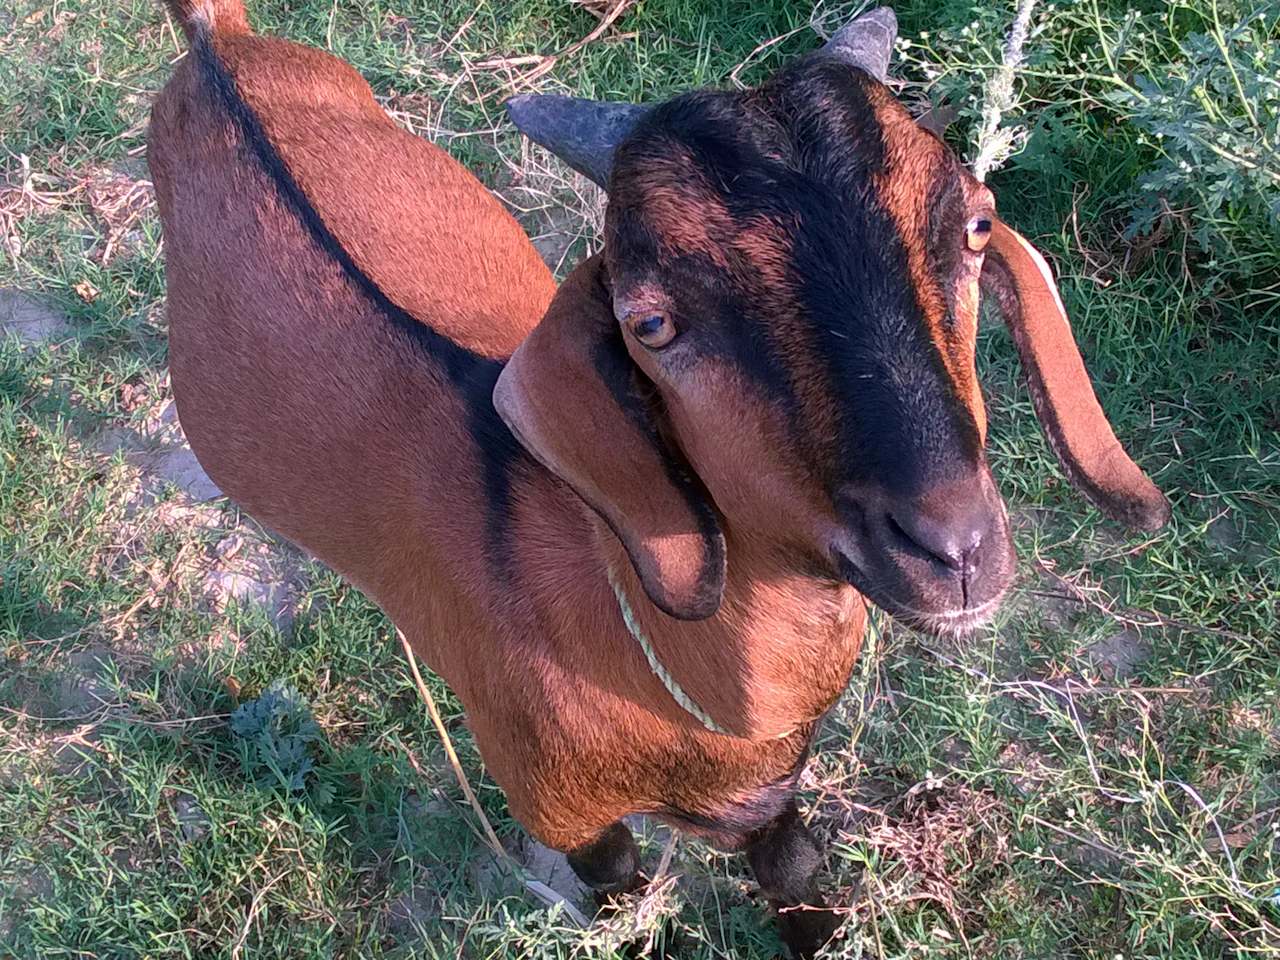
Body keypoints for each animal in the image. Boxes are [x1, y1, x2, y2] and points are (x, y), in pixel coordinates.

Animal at [148, 1, 1170, 954]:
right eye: (651, 324)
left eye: (976, 225)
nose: (950, 547)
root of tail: (214, 41)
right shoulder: (561, 811)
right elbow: (622, 897)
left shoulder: (772, 790)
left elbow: (796, 874)